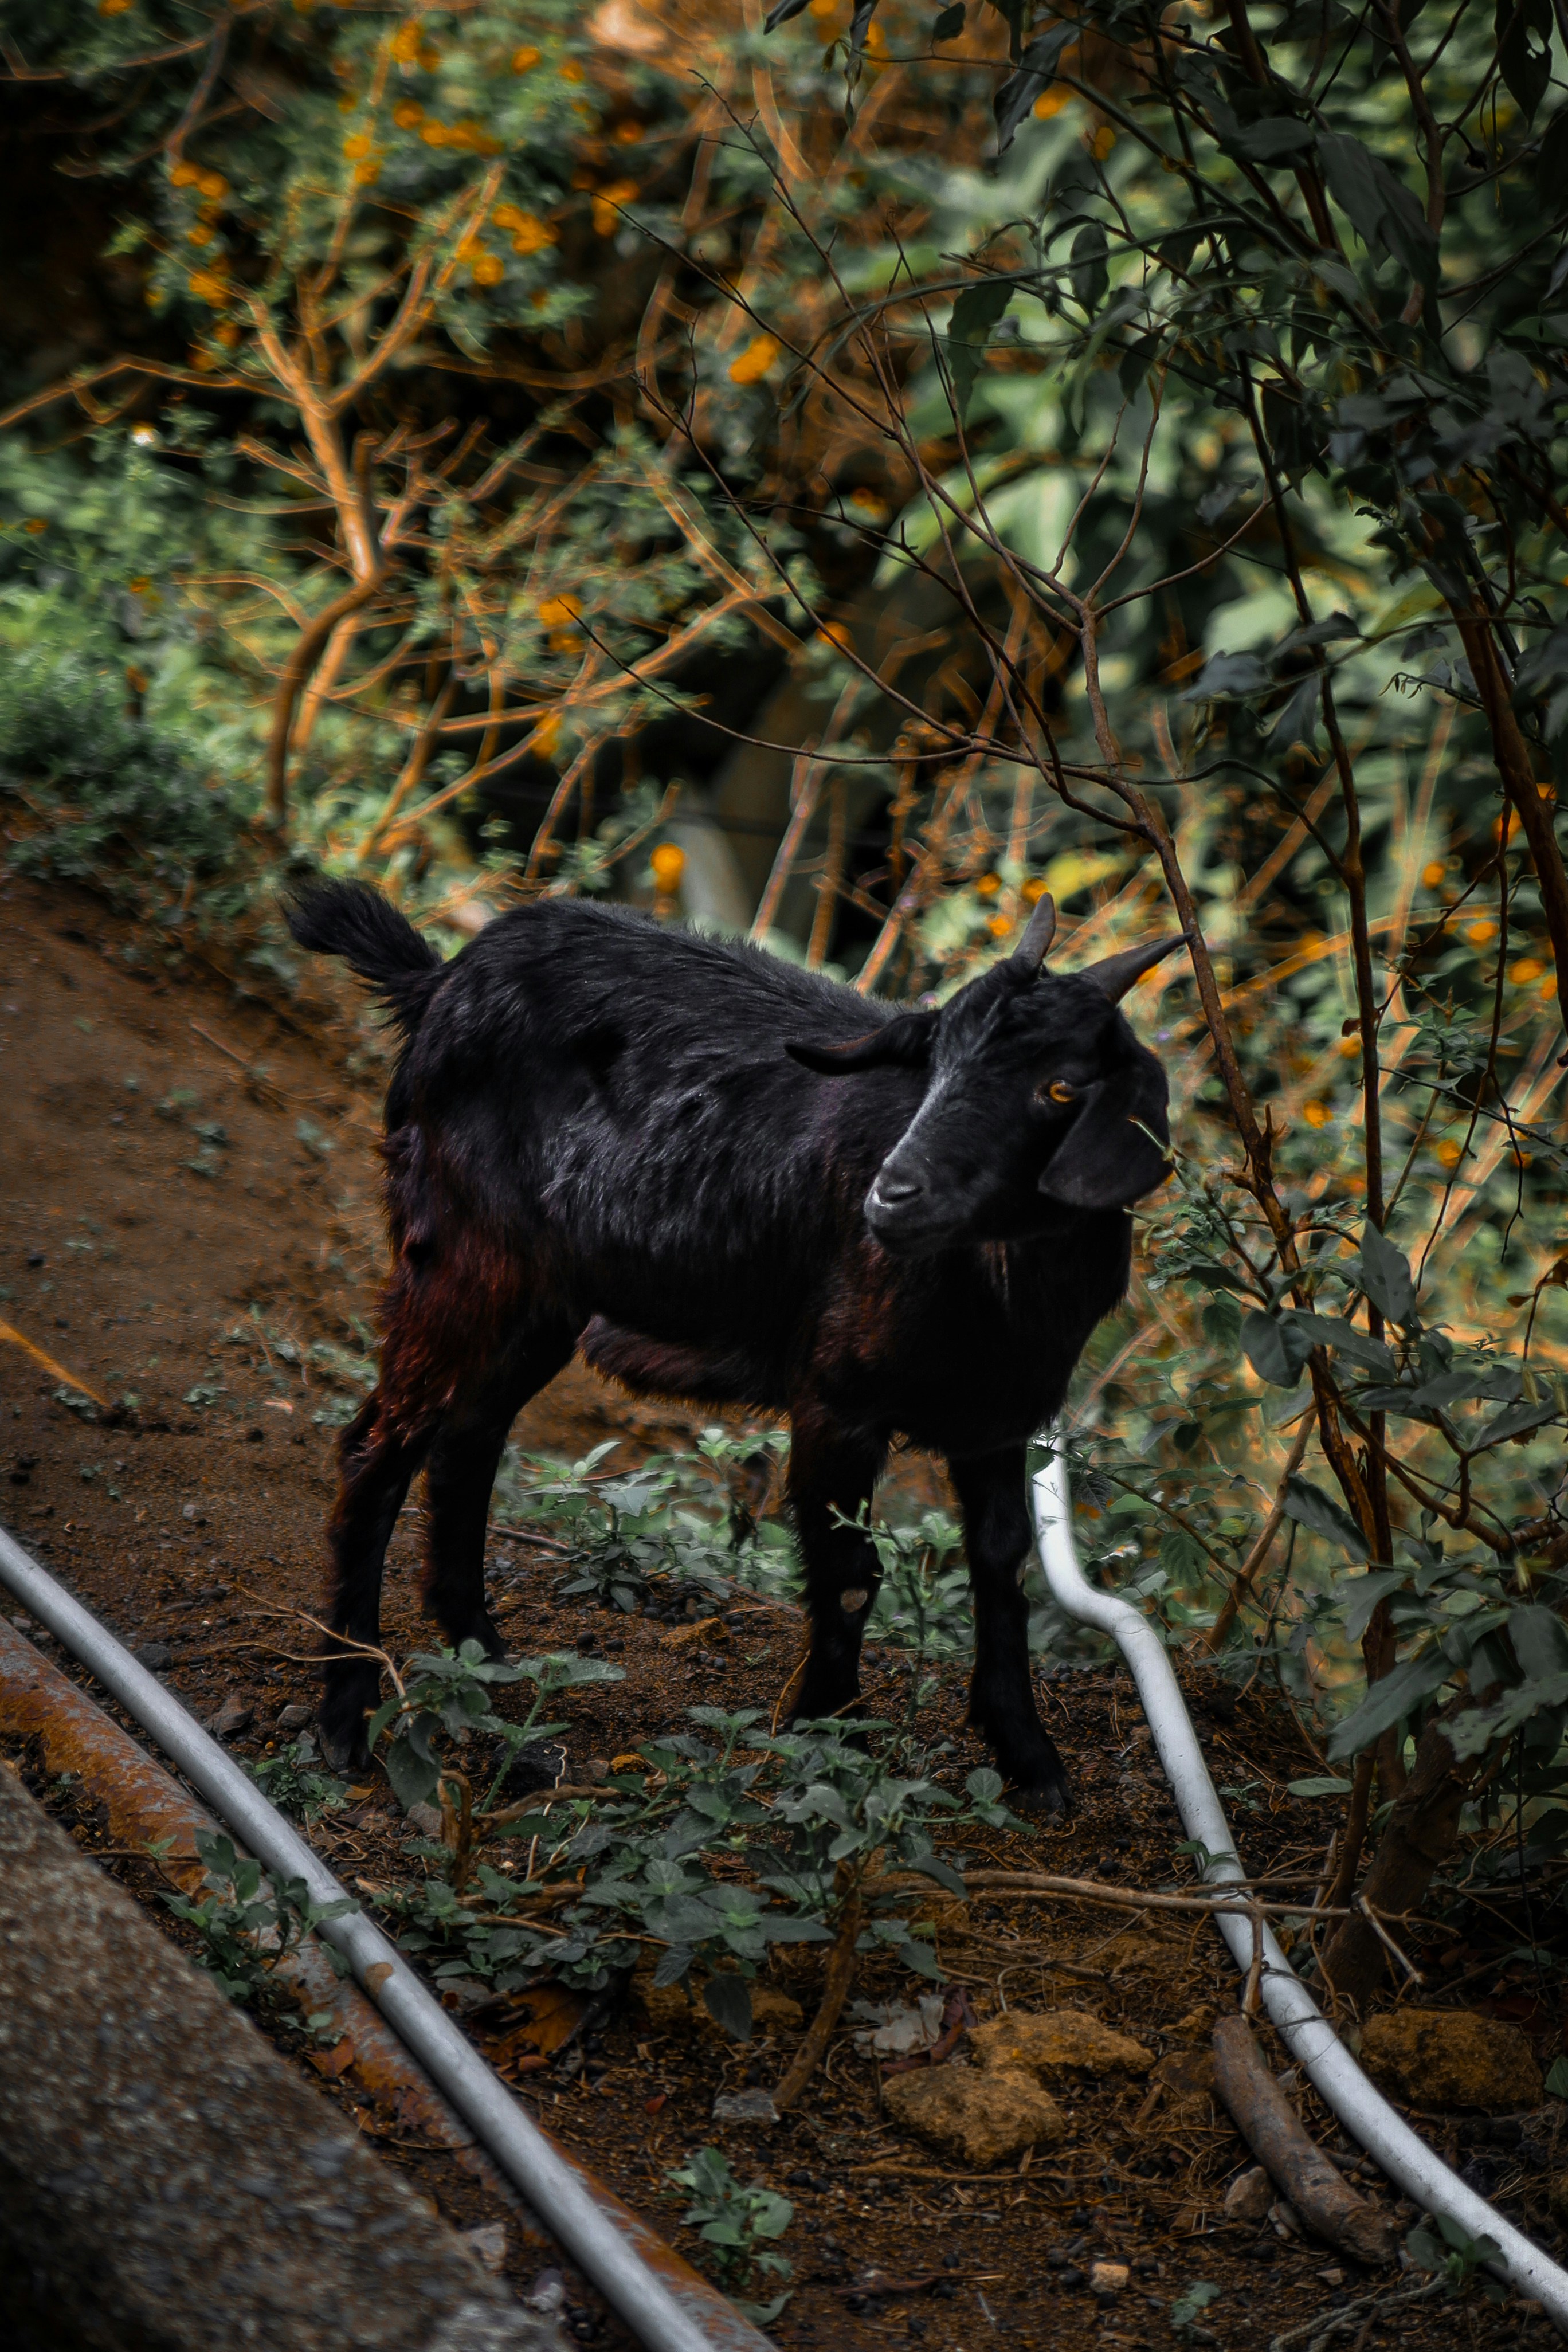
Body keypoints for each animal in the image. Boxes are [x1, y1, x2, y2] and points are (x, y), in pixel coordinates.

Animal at [286, 879, 1181, 1809]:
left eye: (1062, 1088)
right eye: (934, 1066)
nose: (892, 1196)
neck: (997, 1295)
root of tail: (439, 981)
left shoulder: (999, 1421)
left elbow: (1001, 1566)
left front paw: (1028, 1756)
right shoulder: (835, 1403)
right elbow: (851, 1570)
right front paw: (827, 1736)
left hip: (543, 1301)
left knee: (467, 1442)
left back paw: (487, 1669)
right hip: (461, 1255)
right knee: (379, 1448)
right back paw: (347, 1711)